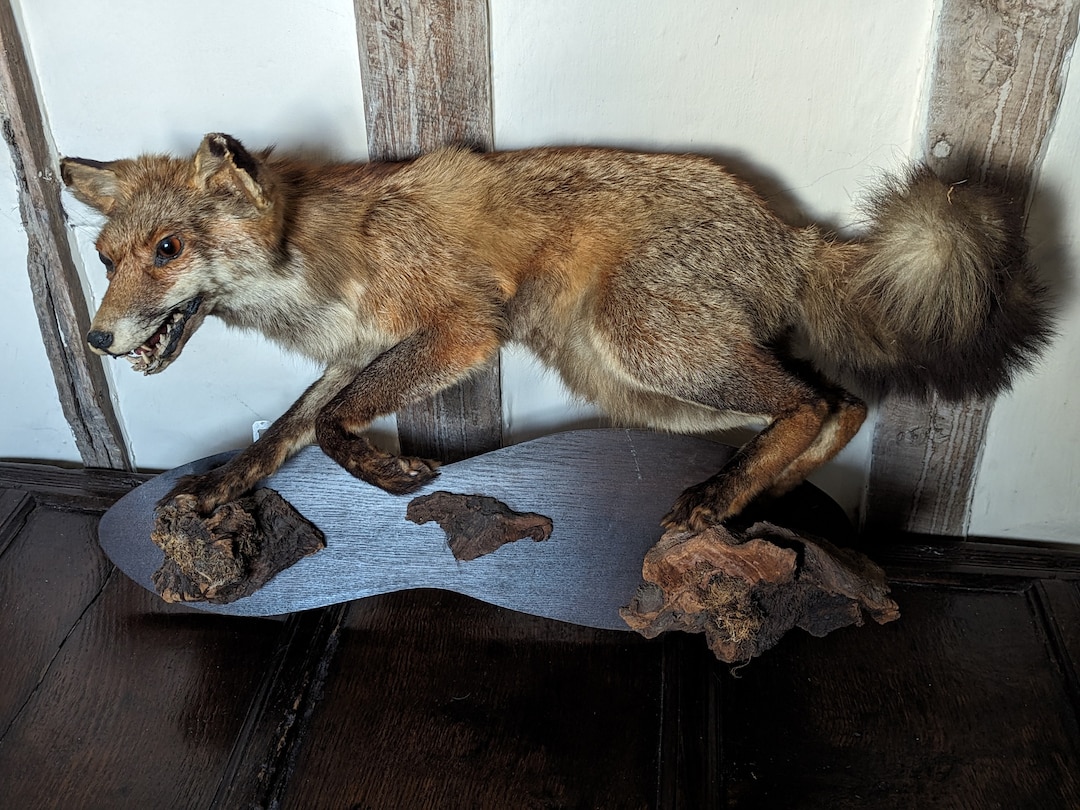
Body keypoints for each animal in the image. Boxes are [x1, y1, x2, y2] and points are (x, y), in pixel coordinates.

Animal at [60, 133, 1051, 532]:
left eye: (167, 249)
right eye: (106, 258)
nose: (96, 343)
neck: (316, 259)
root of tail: (786, 229)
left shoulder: (459, 330)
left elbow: (340, 428)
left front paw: (390, 473)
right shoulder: (354, 354)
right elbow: (284, 435)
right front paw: (211, 491)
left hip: (648, 345)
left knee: (812, 401)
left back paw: (723, 497)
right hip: (638, 385)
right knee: (837, 401)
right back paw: (752, 491)